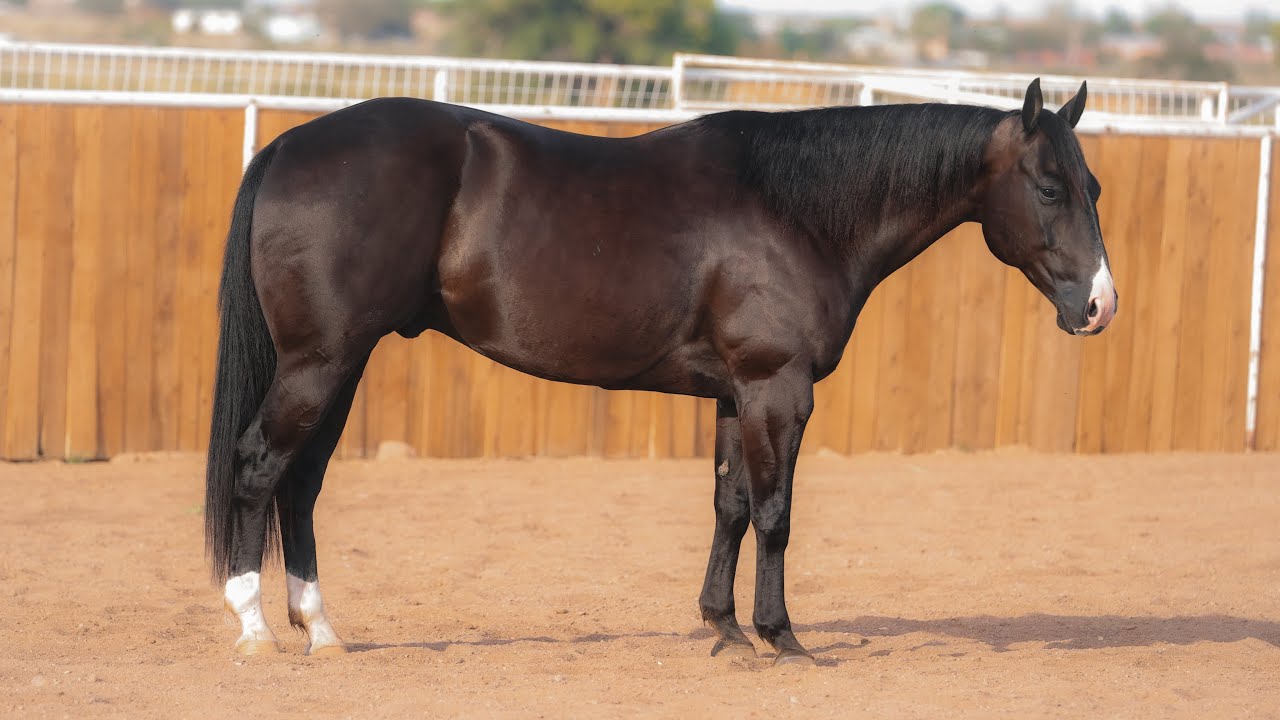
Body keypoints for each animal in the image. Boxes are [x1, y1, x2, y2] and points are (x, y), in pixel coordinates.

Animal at [205, 77, 1115, 665]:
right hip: (320, 364)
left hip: (339, 365)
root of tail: (289, 144)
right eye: (1047, 188)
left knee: (300, 483)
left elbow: (730, 507)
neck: (796, 211)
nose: (1101, 305)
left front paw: (724, 628)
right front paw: (782, 637)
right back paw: (253, 628)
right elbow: (776, 515)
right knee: (258, 468)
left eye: (1094, 187)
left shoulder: (737, 394)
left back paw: (321, 630)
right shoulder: (778, 391)